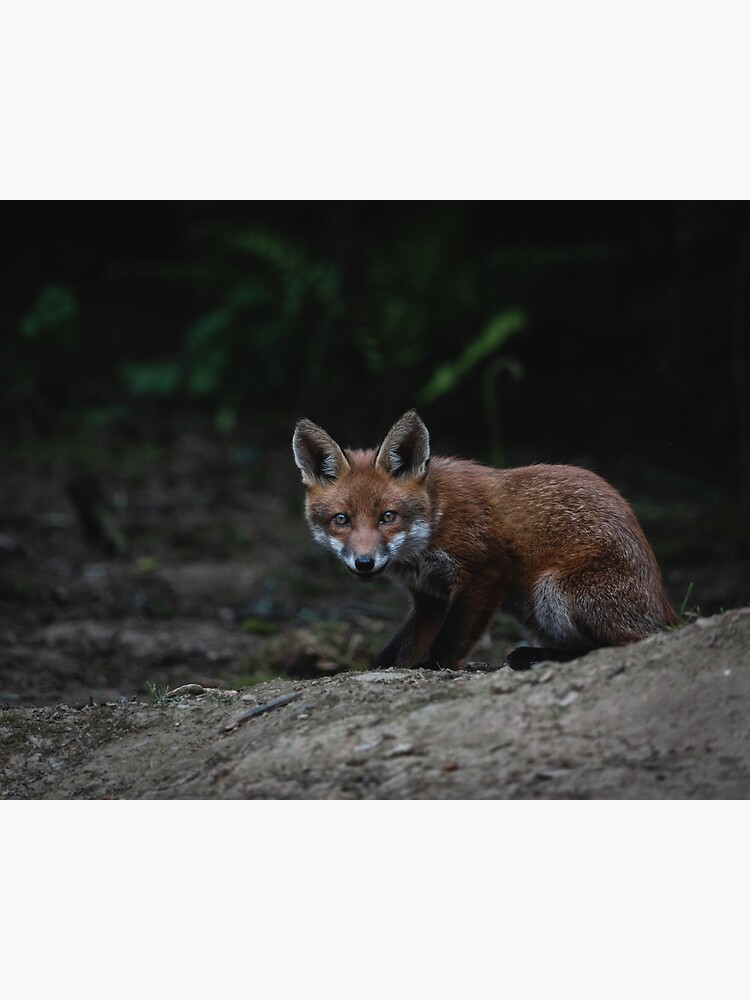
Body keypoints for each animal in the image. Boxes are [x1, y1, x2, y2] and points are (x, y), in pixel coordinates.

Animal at [292, 409, 678, 671]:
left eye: (388, 517)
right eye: (341, 520)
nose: (364, 562)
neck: (434, 524)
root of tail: (666, 607)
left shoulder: (484, 573)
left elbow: (448, 645)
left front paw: (437, 667)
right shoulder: (429, 598)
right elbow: (395, 652)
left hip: (554, 591)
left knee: (627, 642)